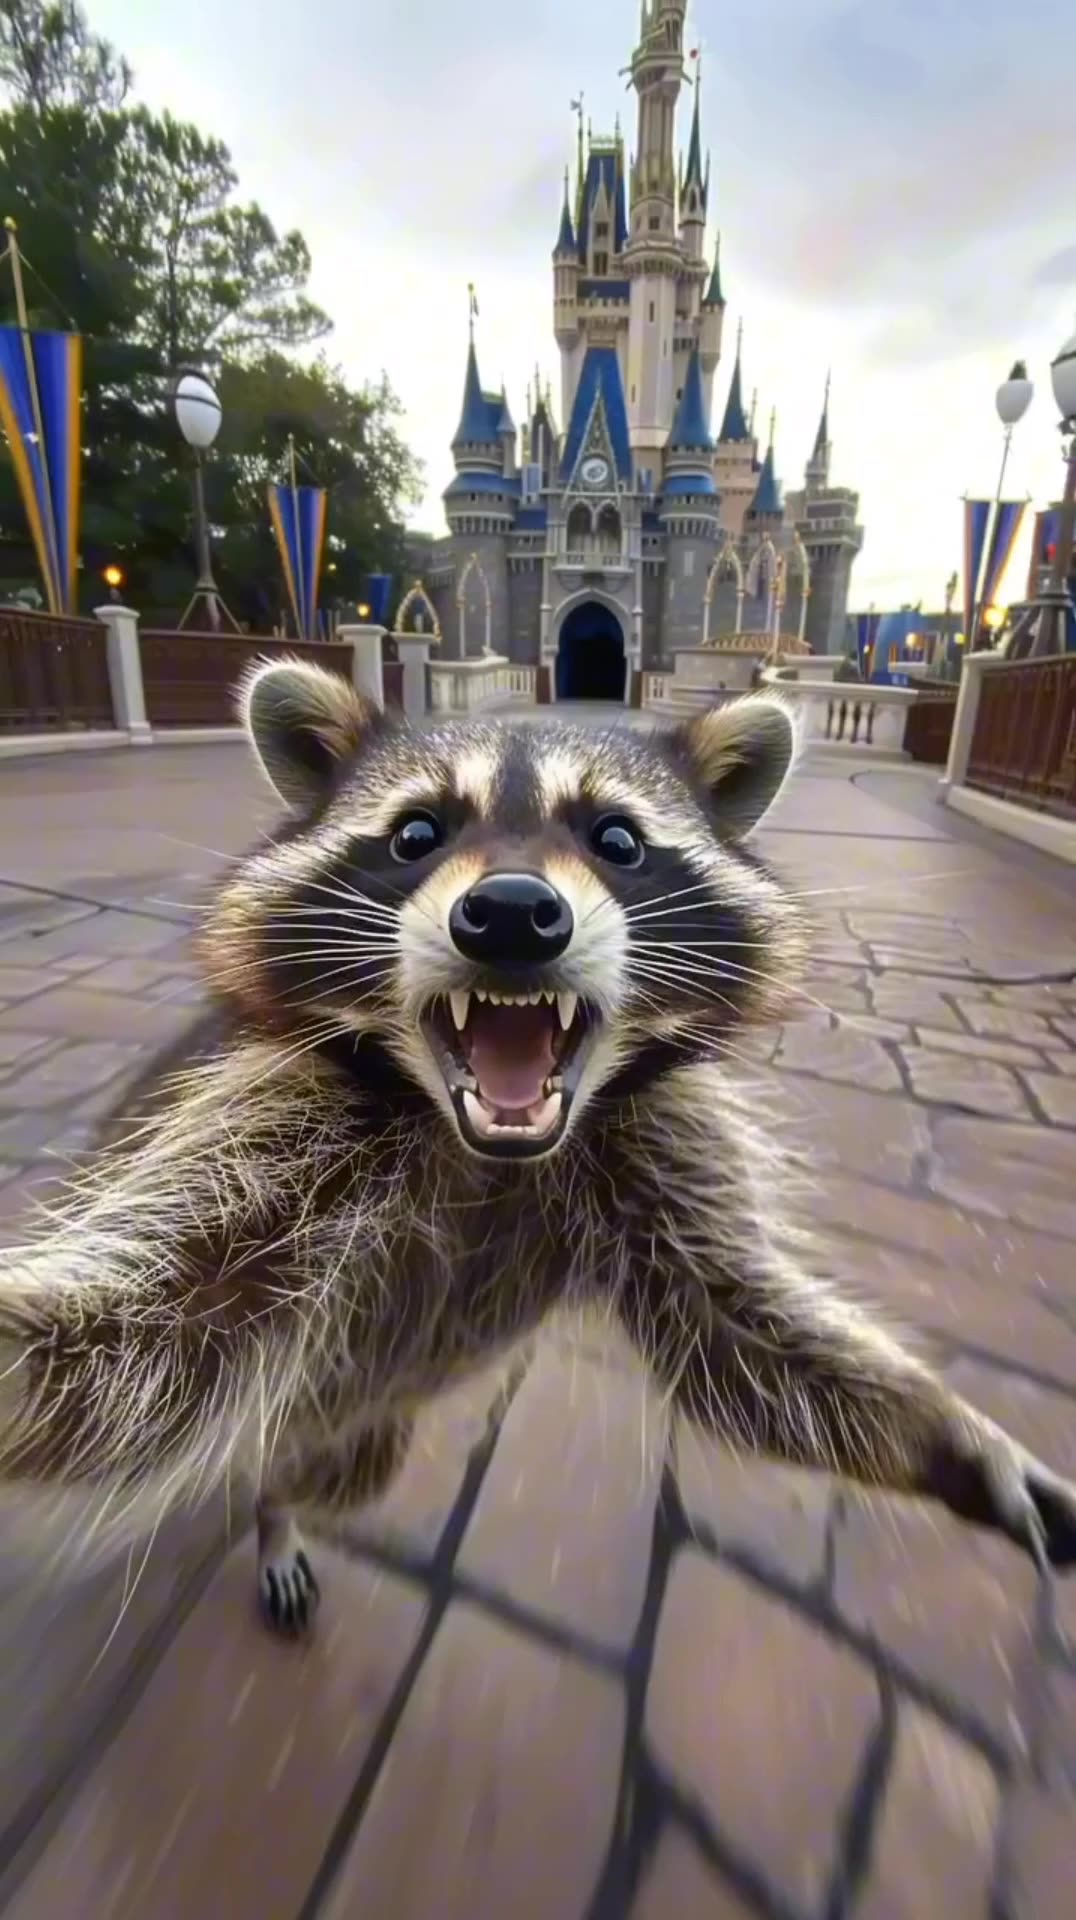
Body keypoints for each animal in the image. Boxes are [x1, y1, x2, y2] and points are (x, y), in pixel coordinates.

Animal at [0, 659, 1073, 1635]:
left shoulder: (655, 1141)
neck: (486, 1149)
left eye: (617, 839)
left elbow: (740, 1337)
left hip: (361, 1431)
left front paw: (947, 1435)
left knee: (332, 1472)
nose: (513, 914)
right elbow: (157, 1318)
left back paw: (277, 1508)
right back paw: (270, 1515)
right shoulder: (273, 1119)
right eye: (417, 834)